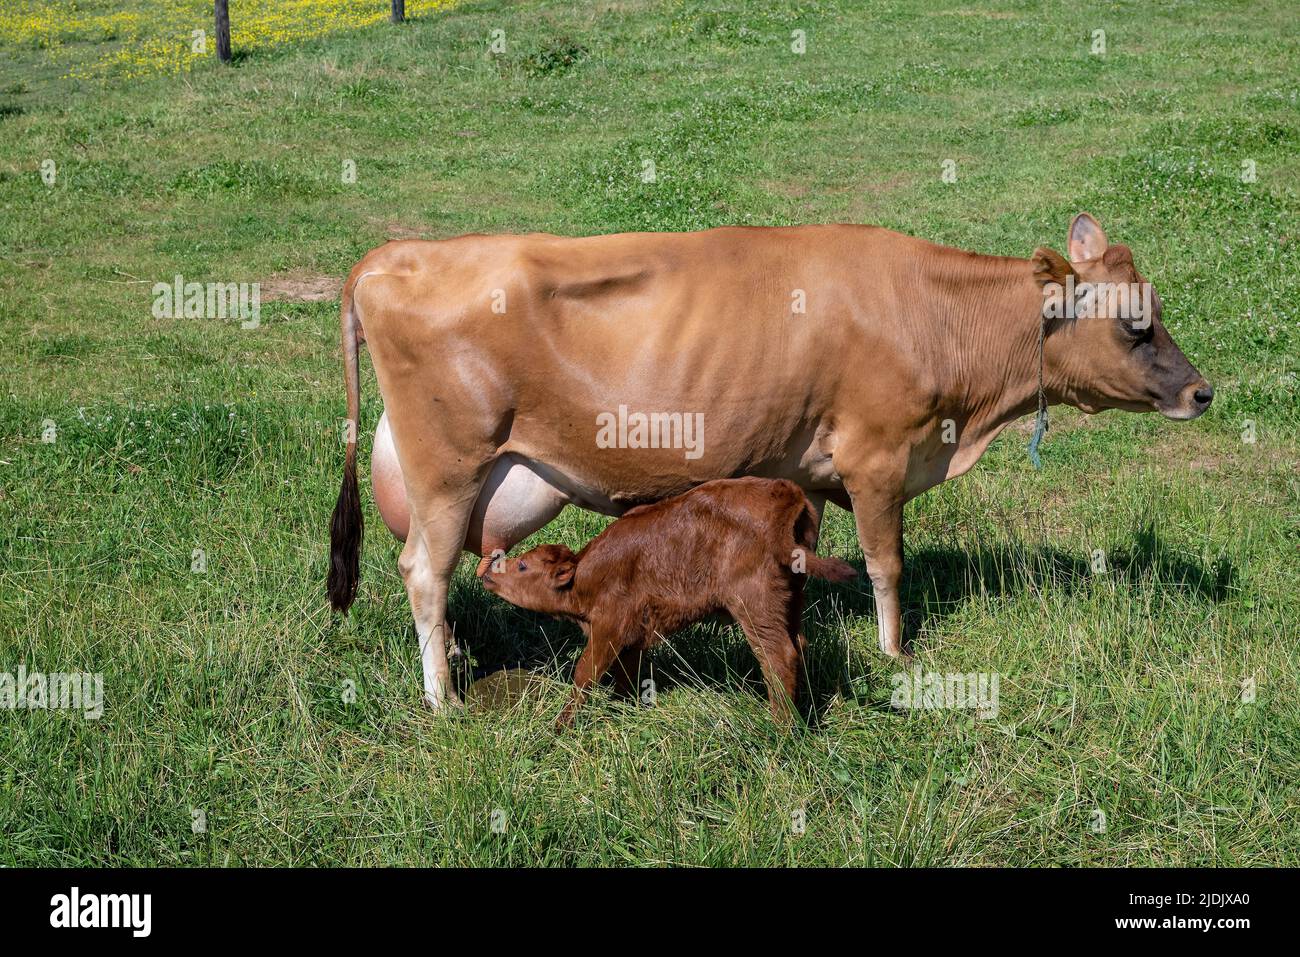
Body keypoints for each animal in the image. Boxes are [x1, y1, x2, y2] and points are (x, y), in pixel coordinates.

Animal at [327, 213, 1213, 710]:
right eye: (1136, 324)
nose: (1202, 392)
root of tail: (389, 256)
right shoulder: (876, 455)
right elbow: (887, 565)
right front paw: (896, 654)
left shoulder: (806, 472)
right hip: (448, 468)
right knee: (423, 571)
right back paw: (443, 698)